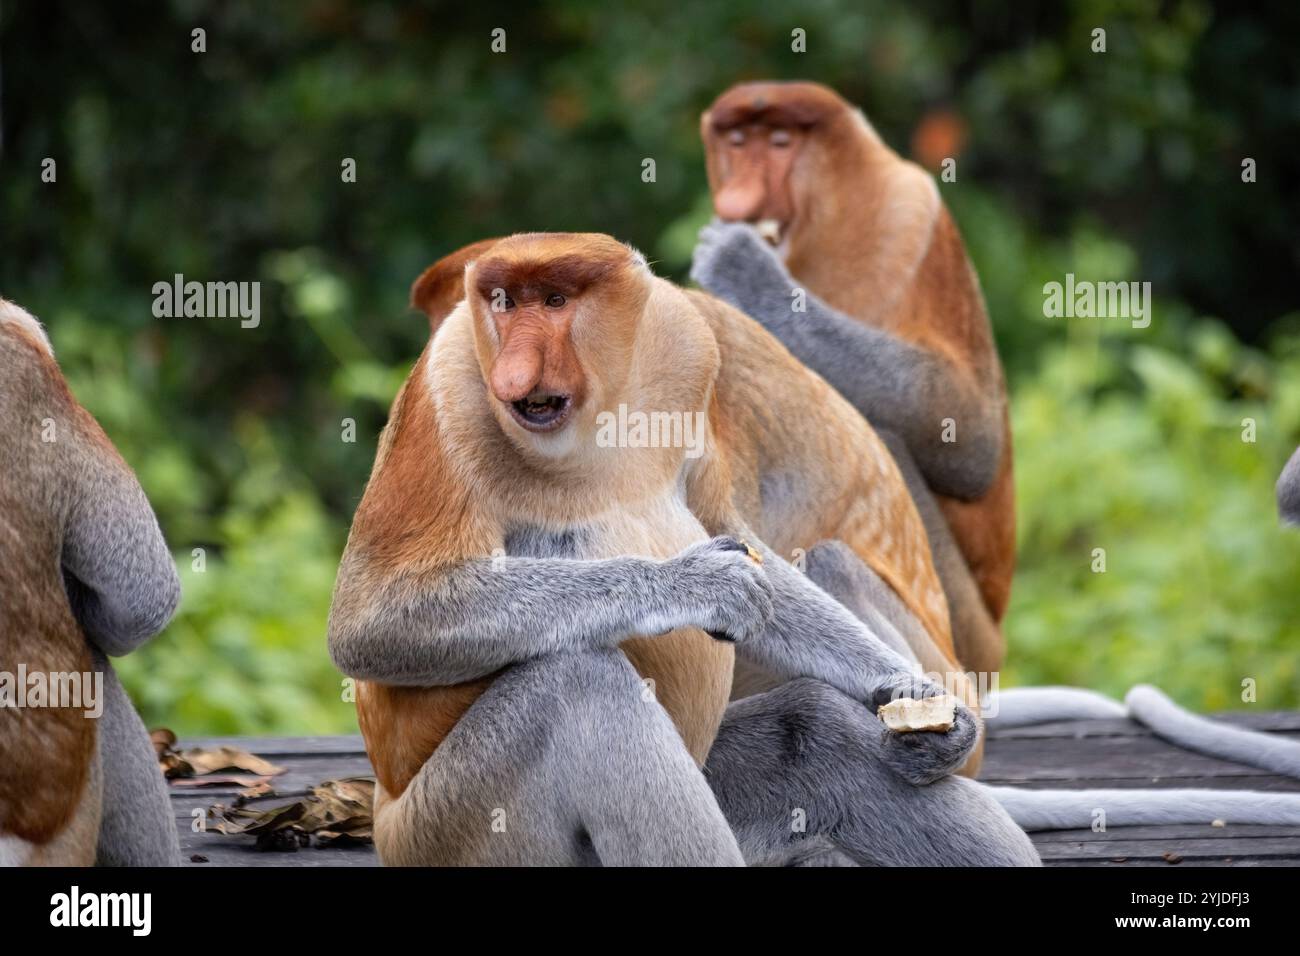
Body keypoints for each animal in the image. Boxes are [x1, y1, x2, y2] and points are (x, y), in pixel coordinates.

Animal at [329, 233, 1043, 866]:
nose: (510, 370)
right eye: (502, 303)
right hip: (453, 827)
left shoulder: (691, 354)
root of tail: (386, 817)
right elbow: (372, 620)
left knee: (813, 728)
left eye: (553, 301)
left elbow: (740, 539)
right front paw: (697, 585)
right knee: (577, 686)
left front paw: (922, 703)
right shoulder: (449, 388)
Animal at [691, 80, 1013, 681]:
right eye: (737, 141)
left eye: (780, 141)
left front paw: (742, 266)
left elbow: (973, 439)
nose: (738, 198)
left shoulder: (911, 215)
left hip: (970, 635)